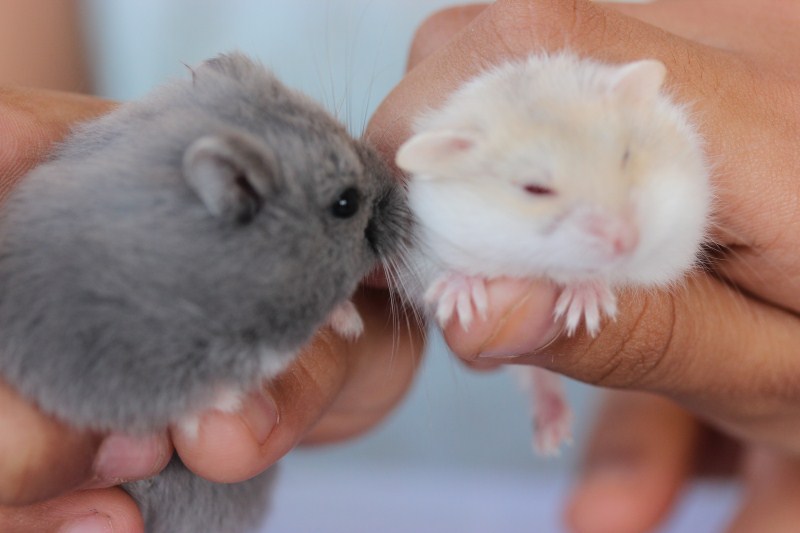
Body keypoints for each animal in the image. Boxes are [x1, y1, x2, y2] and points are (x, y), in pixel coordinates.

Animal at [395, 52, 712, 453]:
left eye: (626, 156)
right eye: (535, 188)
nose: (627, 240)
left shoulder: (675, 238)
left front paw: (584, 306)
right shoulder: (421, 245)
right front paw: (461, 299)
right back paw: (552, 435)